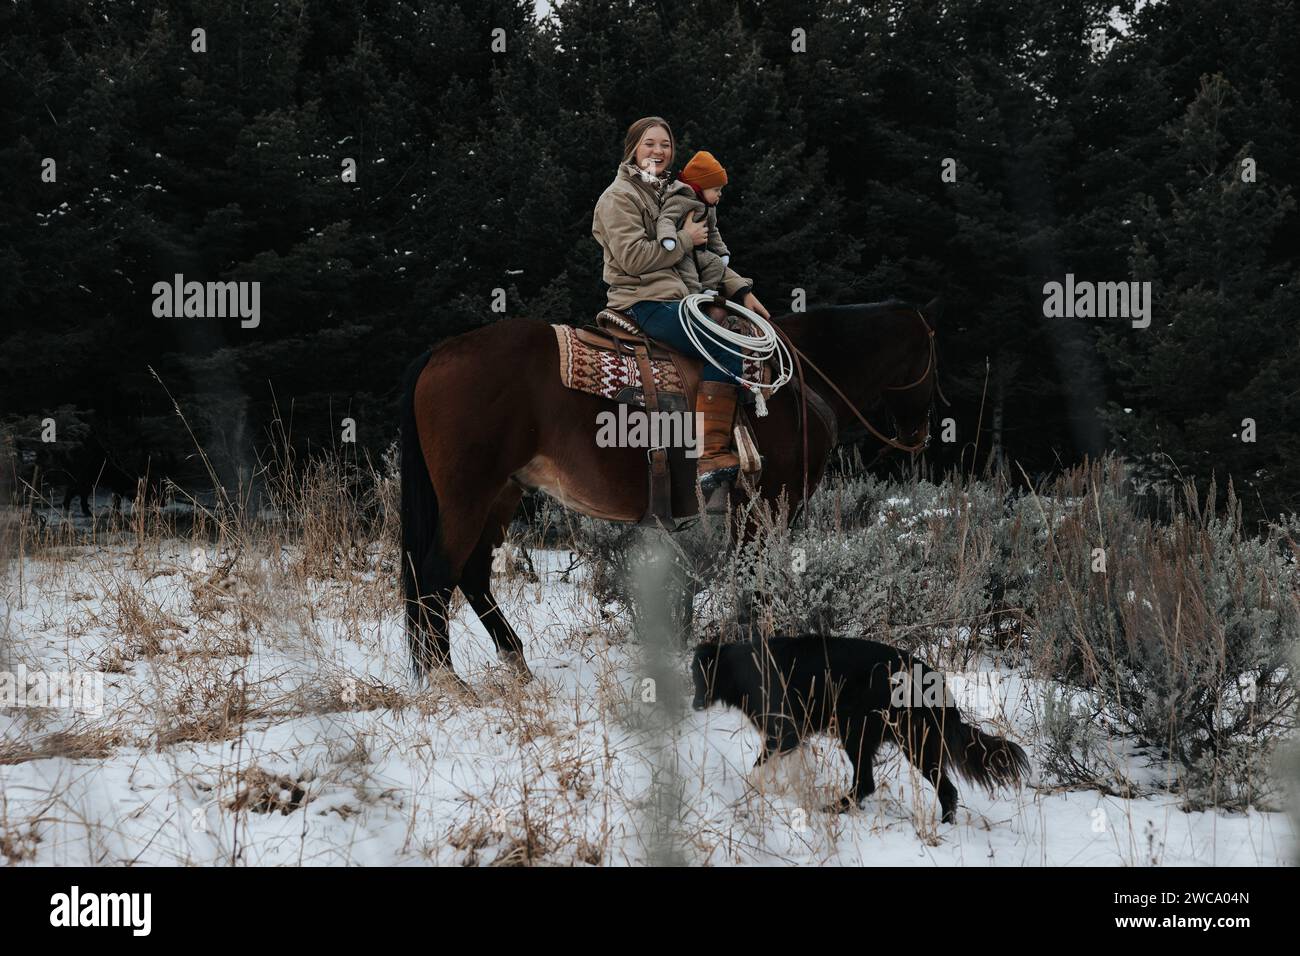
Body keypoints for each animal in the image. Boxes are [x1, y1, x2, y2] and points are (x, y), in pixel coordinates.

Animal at [398, 297, 942, 684]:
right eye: (933, 356)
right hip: (468, 494)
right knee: (436, 574)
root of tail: (440, 352)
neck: (794, 390)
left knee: (472, 575)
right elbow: (754, 583)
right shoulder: (765, 502)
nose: (919, 434)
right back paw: (447, 679)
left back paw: (516, 665)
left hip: (502, 493)